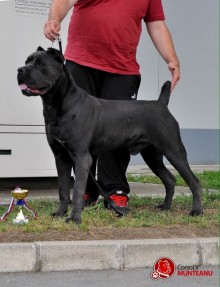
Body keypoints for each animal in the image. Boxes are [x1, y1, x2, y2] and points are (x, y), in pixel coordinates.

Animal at [17, 47, 203, 224]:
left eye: (40, 64)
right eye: (27, 61)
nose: (20, 69)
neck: (59, 104)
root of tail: (161, 103)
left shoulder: (81, 157)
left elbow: (76, 191)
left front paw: (75, 218)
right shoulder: (61, 158)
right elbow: (62, 190)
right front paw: (60, 213)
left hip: (174, 150)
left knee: (194, 181)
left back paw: (197, 211)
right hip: (152, 156)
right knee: (170, 179)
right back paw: (165, 207)